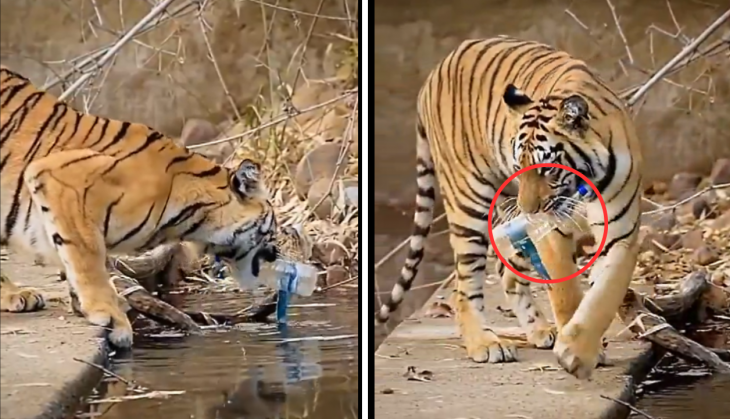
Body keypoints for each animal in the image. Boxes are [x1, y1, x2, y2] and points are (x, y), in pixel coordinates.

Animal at [374, 36, 643, 379]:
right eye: (520, 166)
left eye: (546, 169)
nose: (531, 209)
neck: (584, 184)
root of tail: (433, 74)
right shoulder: (550, 231)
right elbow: (567, 293)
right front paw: (578, 352)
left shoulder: (621, 233)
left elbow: (605, 294)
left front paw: (580, 350)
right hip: (468, 200)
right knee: (464, 287)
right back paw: (486, 344)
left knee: (506, 271)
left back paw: (540, 330)